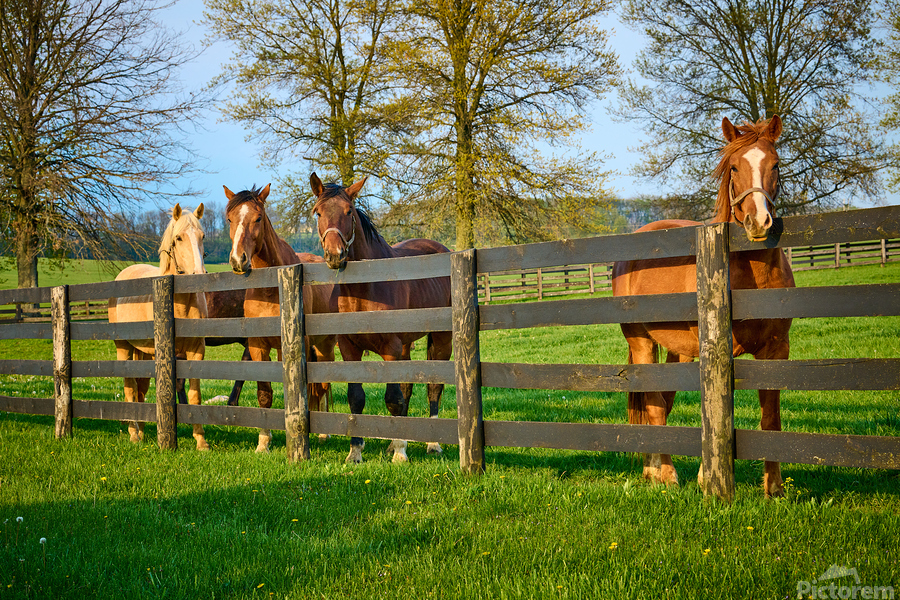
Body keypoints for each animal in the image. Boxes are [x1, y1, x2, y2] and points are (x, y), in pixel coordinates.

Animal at [108, 204, 211, 450]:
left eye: (202, 236)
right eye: (179, 238)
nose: (199, 275)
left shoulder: (196, 351)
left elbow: (195, 395)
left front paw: (201, 441)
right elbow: (162, 393)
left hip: (142, 352)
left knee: (140, 390)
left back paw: (142, 431)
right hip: (123, 347)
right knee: (130, 388)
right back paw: (134, 434)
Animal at [224, 184, 337, 452]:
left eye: (258, 218)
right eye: (230, 219)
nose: (238, 260)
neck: (271, 288)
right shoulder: (258, 346)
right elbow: (264, 394)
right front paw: (263, 442)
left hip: (325, 345)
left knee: (323, 385)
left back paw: (324, 433)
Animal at [310, 172, 453, 464]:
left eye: (349, 211)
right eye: (318, 212)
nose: (335, 255)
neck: (365, 288)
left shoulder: (391, 349)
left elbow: (393, 398)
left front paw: (400, 452)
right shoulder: (349, 349)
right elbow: (357, 397)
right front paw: (355, 452)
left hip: (442, 339)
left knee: (434, 386)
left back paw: (432, 443)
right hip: (407, 345)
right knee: (409, 387)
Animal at [611, 115, 794, 497]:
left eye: (775, 164)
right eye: (734, 166)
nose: (758, 222)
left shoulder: (776, 350)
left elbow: (771, 418)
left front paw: (774, 487)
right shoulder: (714, 352)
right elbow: (713, 412)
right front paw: (705, 477)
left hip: (676, 350)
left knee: (662, 401)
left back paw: (652, 470)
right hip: (642, 342)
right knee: (654, 405)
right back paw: (667, 475)